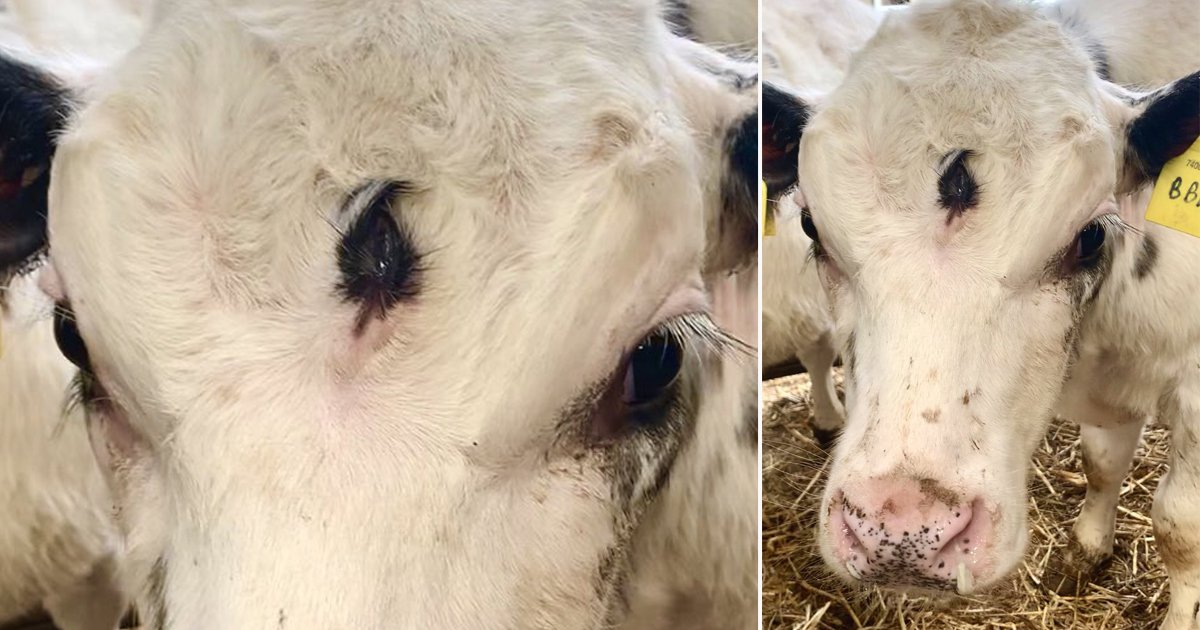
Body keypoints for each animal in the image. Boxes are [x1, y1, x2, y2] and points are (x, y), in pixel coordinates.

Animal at [762, 0, 1200, 627]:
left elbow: (1180, 526)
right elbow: (1102, 461)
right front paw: (1088, 547)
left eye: (1091, 235)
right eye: (809, 226)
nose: (904, 535)